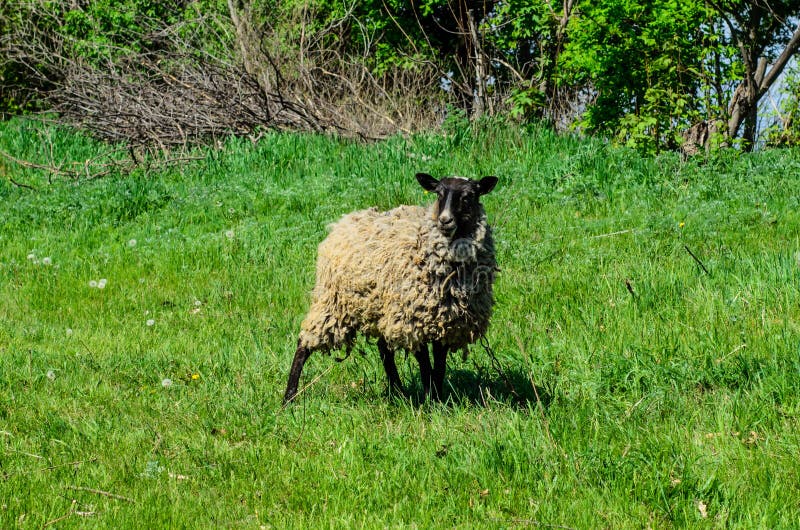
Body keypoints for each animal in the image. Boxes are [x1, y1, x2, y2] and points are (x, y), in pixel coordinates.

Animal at [282, 172, 498, 404]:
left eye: (468, 196)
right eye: (438, 194)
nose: (445, 220)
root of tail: (343, 221)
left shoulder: (446, 323)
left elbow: (439, 366)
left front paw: (438, 398)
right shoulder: (411, 319)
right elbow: (425, 364)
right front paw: (429, 399)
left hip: (379, 309)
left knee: (384, 349)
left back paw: (398, 391)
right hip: (332, 302)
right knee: (304, 343)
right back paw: (289, 399)